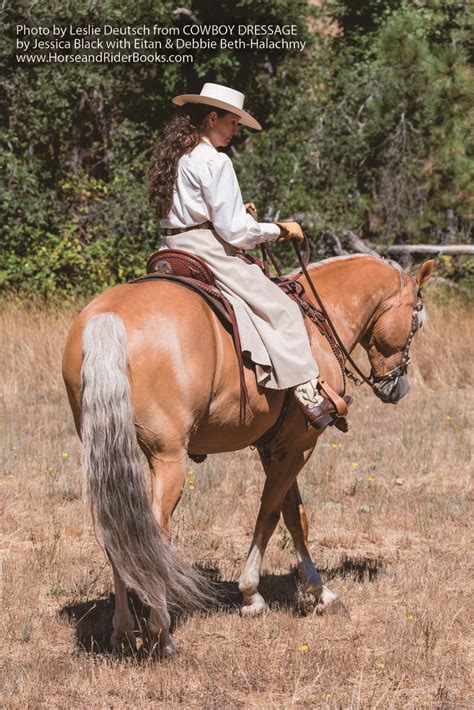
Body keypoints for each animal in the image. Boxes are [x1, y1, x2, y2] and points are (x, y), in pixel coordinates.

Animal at [62, 253, 435, 657]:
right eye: (416, 320)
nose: (397, 386)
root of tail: (108, 317)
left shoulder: (277, 448)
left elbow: (293, 516)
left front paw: (317, 592)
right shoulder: (299, 445)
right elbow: (273, 515)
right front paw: (256, 595)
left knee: (117, 535)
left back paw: (124, 630)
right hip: (168, 460)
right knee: (151, 535)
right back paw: (162, 634)